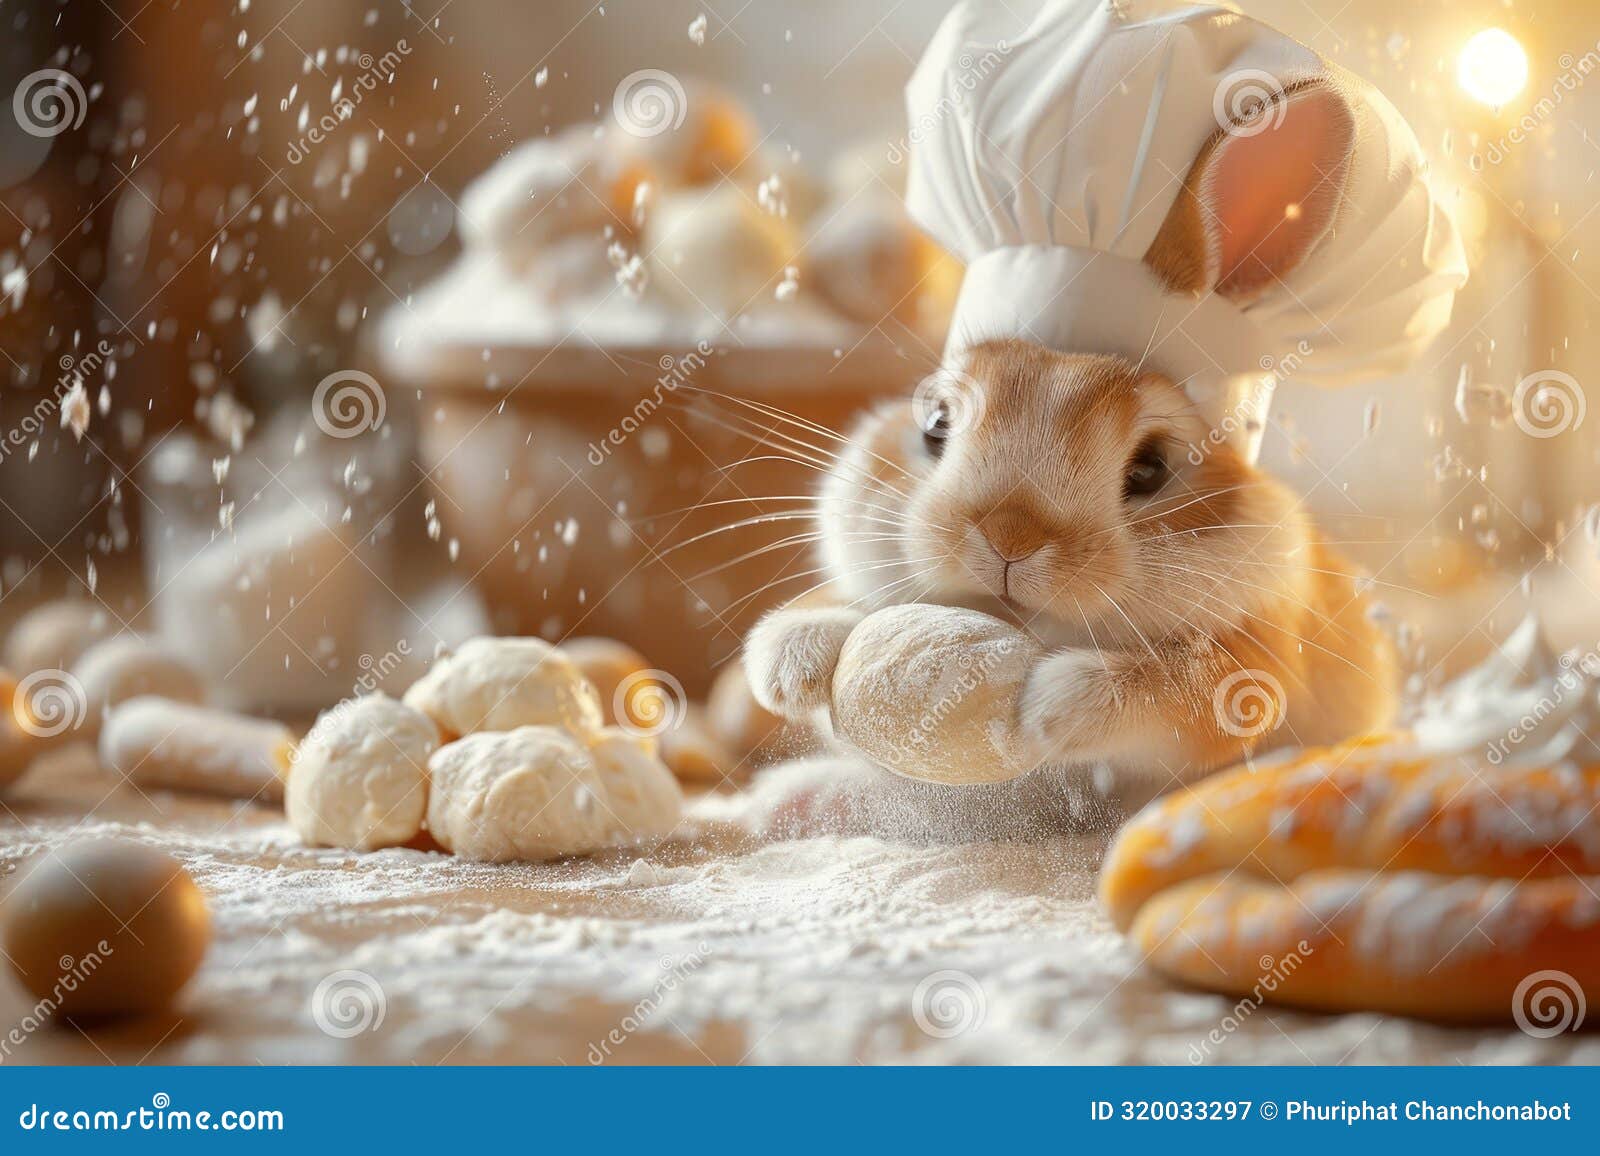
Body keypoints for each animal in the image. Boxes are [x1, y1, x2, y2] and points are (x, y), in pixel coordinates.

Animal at [743, 80, 1398, 787]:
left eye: (1151, 469)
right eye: (935, 427)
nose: (1008, 540)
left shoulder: (1254, 667)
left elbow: (1183, 696)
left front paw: (1045, 705)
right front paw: (788, 659)